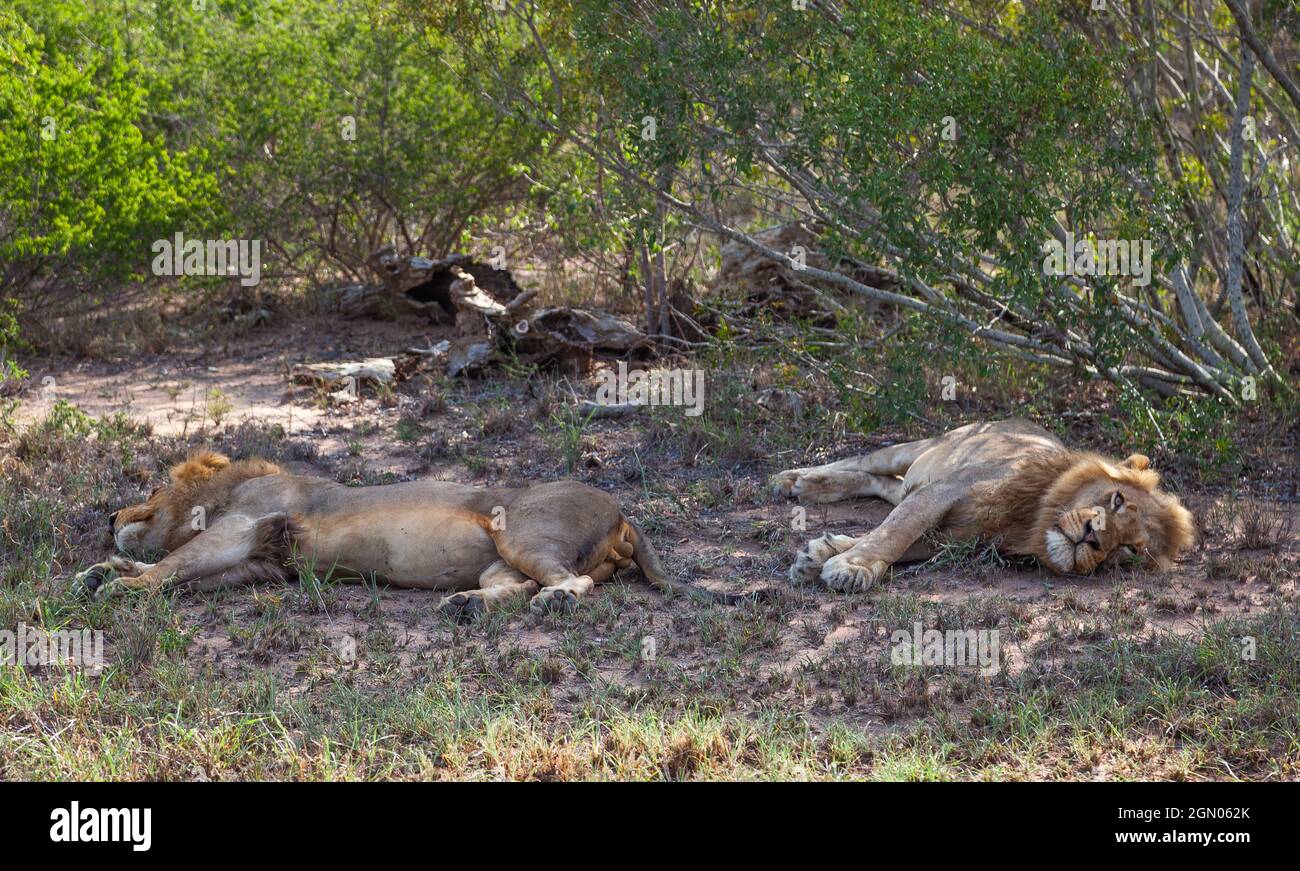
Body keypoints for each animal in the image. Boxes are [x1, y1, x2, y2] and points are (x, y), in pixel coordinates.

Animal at [773, 418, 1195, 590]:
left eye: (1131, 549)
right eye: (1117, 499)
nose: (1092, 538)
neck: (1030, 520)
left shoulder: (953, 538)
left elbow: (897, 541)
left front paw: (823, 556)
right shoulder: (944, 490)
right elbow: (894, 533)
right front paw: (849, 566)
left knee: (882, 485)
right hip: (921, 449)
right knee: (864, 462)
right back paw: (795, 481)